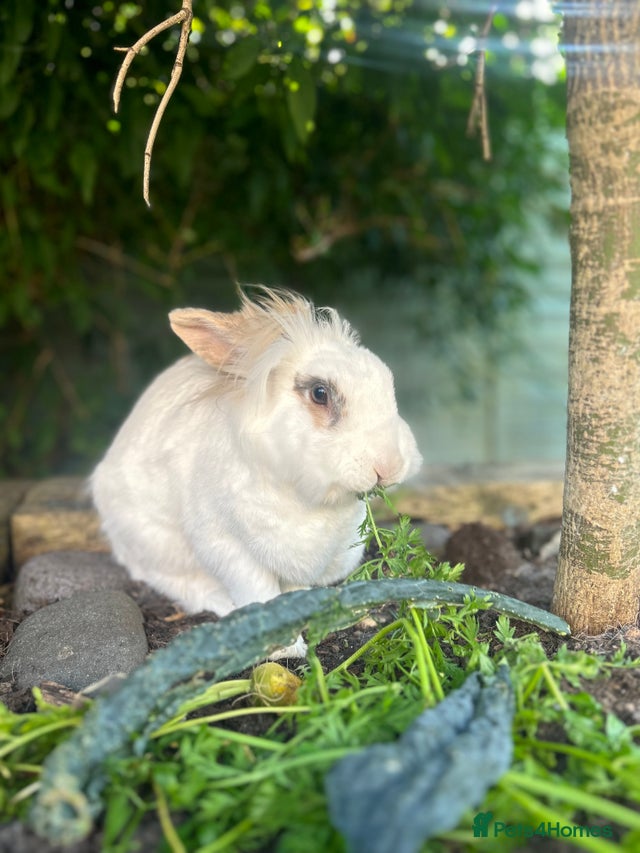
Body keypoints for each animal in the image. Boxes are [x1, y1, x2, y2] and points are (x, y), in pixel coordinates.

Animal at [91, 287, 422, 658]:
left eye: (388, 383)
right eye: (320, 393)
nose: (390, 465)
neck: (304, 495)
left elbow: (292, 592)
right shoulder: (226, 547)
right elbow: (258, 591)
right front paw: (285, 651)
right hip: (155, 543)